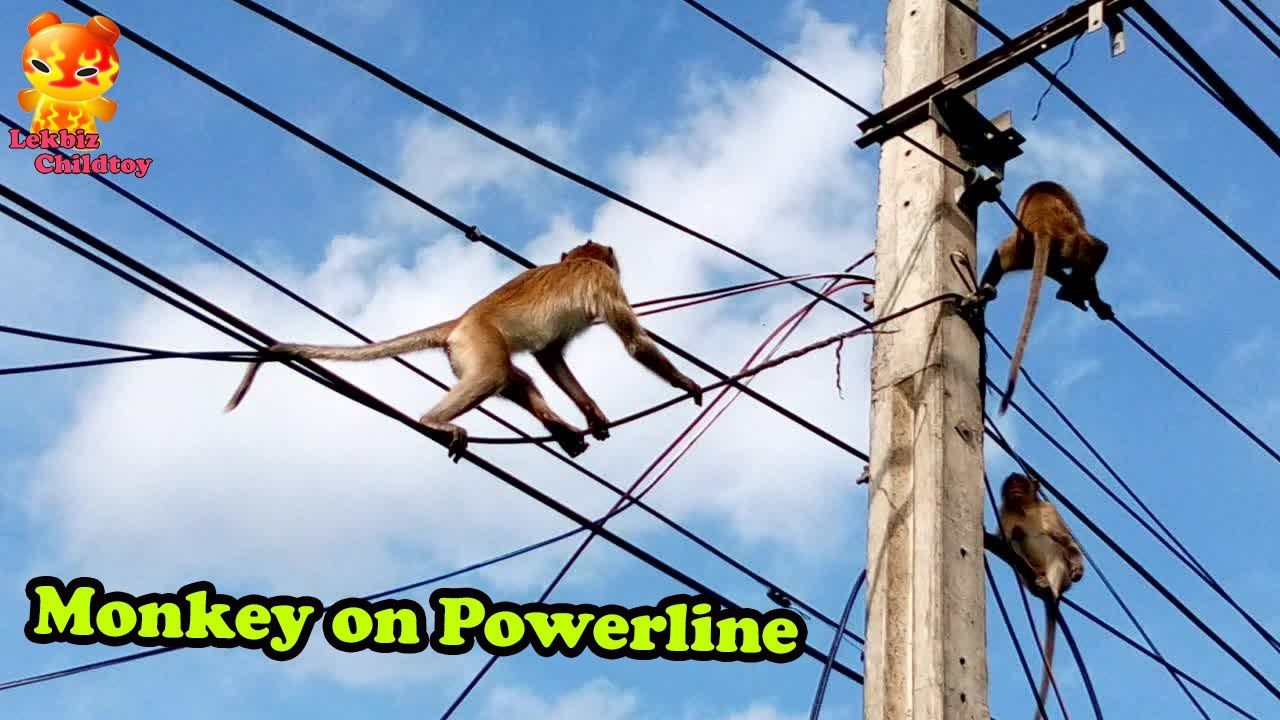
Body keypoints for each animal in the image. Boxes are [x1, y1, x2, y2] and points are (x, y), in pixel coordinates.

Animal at [224, 240, 704, 462]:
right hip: (479, 340)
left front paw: (591, 413)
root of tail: (458, 322)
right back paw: (432, 421)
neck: (578, 262)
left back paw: (561, 428)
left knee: (514, 377)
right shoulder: (604, 283)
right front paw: (687, 383)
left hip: (466, 350)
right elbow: (635, 343)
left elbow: (549, 356)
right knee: (493, 374)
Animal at [978, 181, 1114, 414]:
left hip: (1021, 249)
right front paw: (1095, 301)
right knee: (1096, 248)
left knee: (1000, 257)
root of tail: (1041, 225)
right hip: (1070, 239)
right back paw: (1070, 294)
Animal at [997, 472, 1085, 720]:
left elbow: (1065, 540)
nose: (1014, 488)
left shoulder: (1049, 509)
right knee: (1017, 540)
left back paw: (1050, 586)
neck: (1024, 508)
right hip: (1025, 579)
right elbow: (1004, 538)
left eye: (1019, 482)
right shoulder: (1004, 512)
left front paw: (1078, 567)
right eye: (1011, 483)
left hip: (1061, 579)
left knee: (1055, 546)